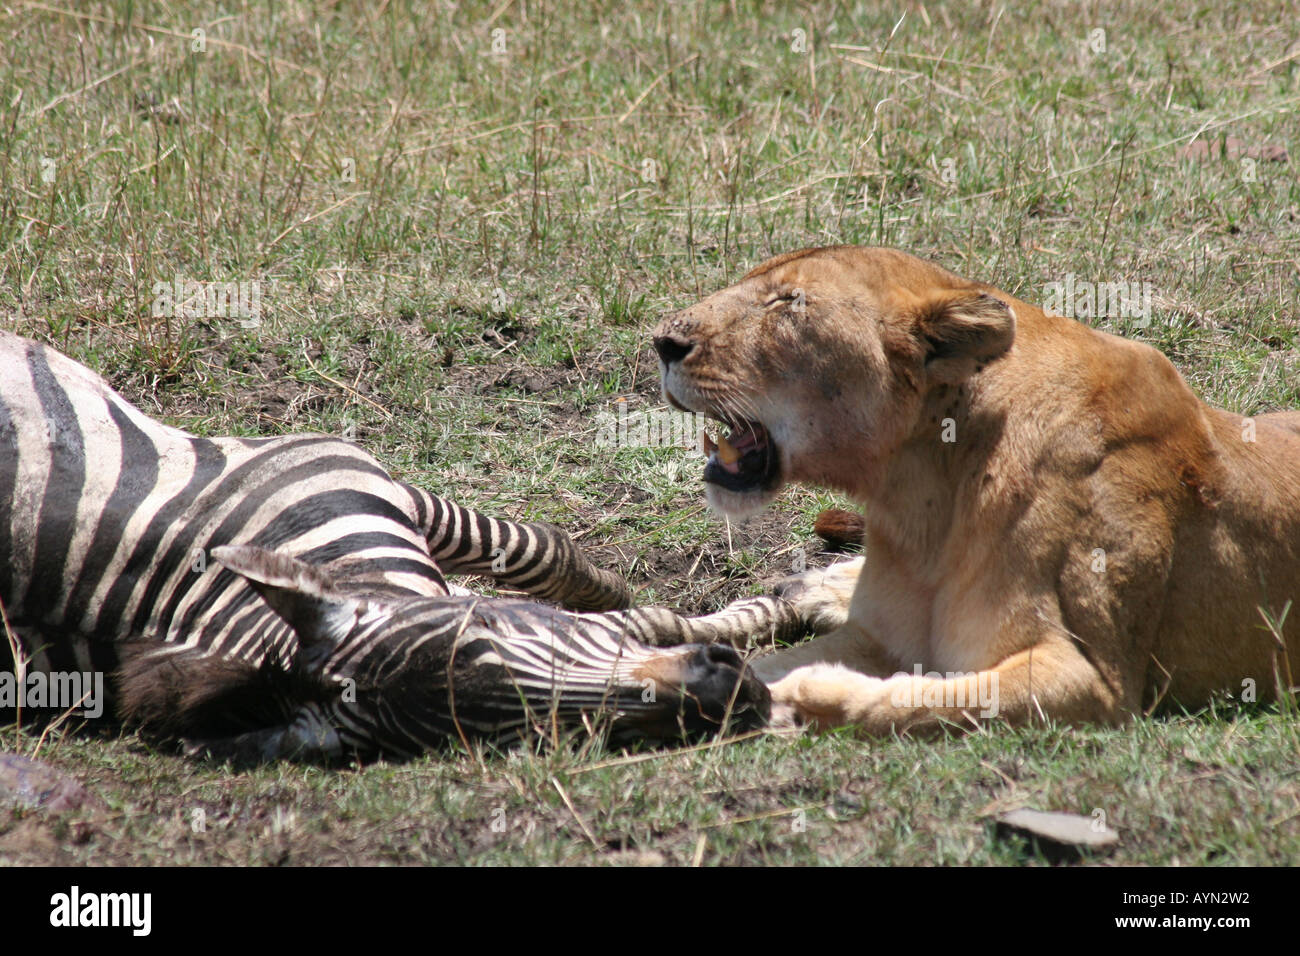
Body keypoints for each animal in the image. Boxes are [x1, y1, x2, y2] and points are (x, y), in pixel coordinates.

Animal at [0, 330, 805, 763]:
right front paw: (787, 605)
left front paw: (615, 590)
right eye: (522, 738)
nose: (722, 694)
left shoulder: (344, 465)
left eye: (487, 627)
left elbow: (543, 549)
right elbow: (651, 621)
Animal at [653, 245, 1300, 734]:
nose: (662, 341)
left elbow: (919, 698)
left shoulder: (1101, 679)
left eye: (788, 302)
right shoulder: (877, 633)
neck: (918, 498)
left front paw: (809, 693)